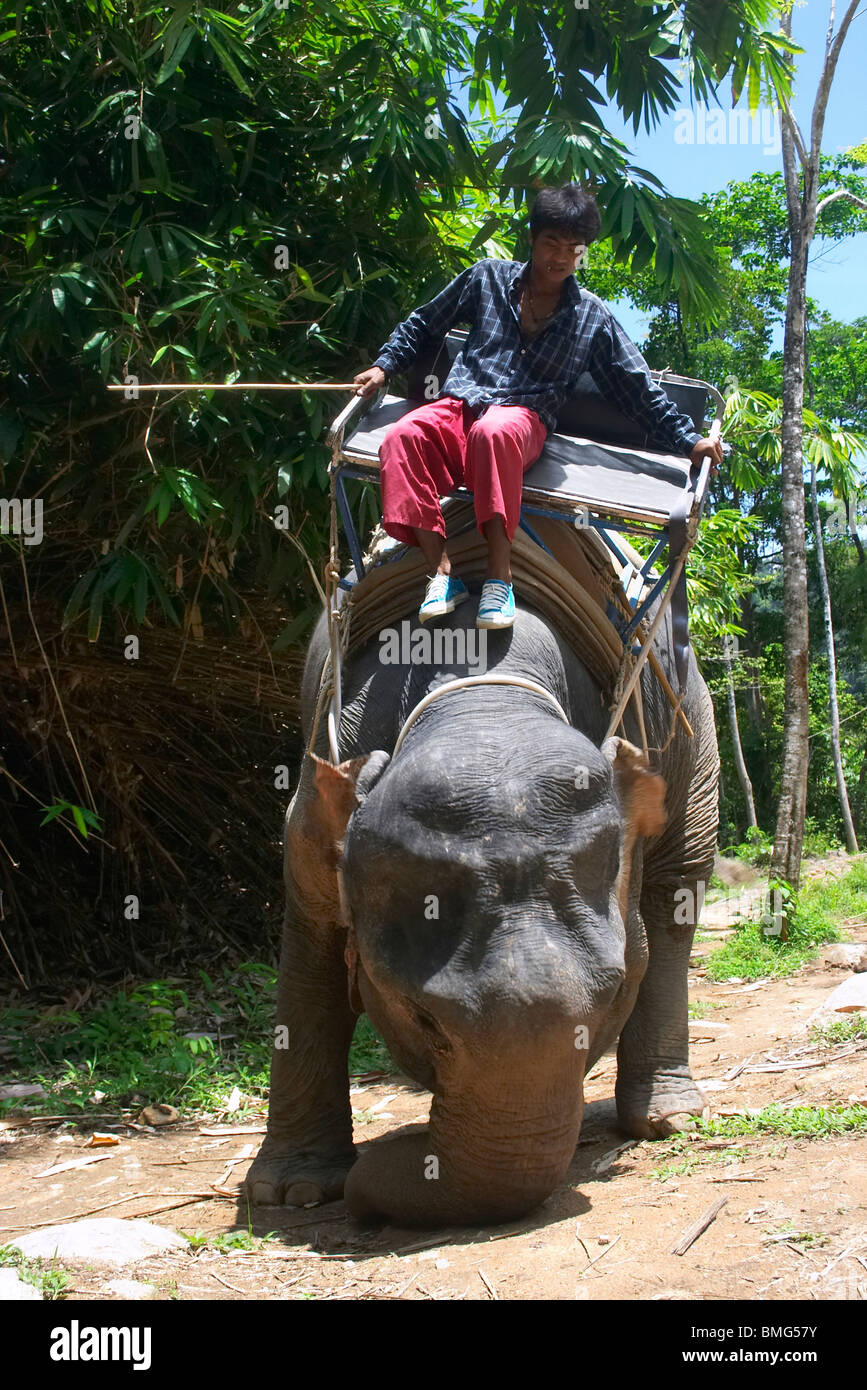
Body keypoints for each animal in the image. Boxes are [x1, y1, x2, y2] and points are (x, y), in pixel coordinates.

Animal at [246, 585, 719, 1227]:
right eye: (423, 1019)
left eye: (613, 996)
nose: (371, 1187)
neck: (484, 695)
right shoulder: (319, 781)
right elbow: (311, 948)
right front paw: (292, 1192)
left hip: (694, 723)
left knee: (678, 890)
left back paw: (670, 1119)